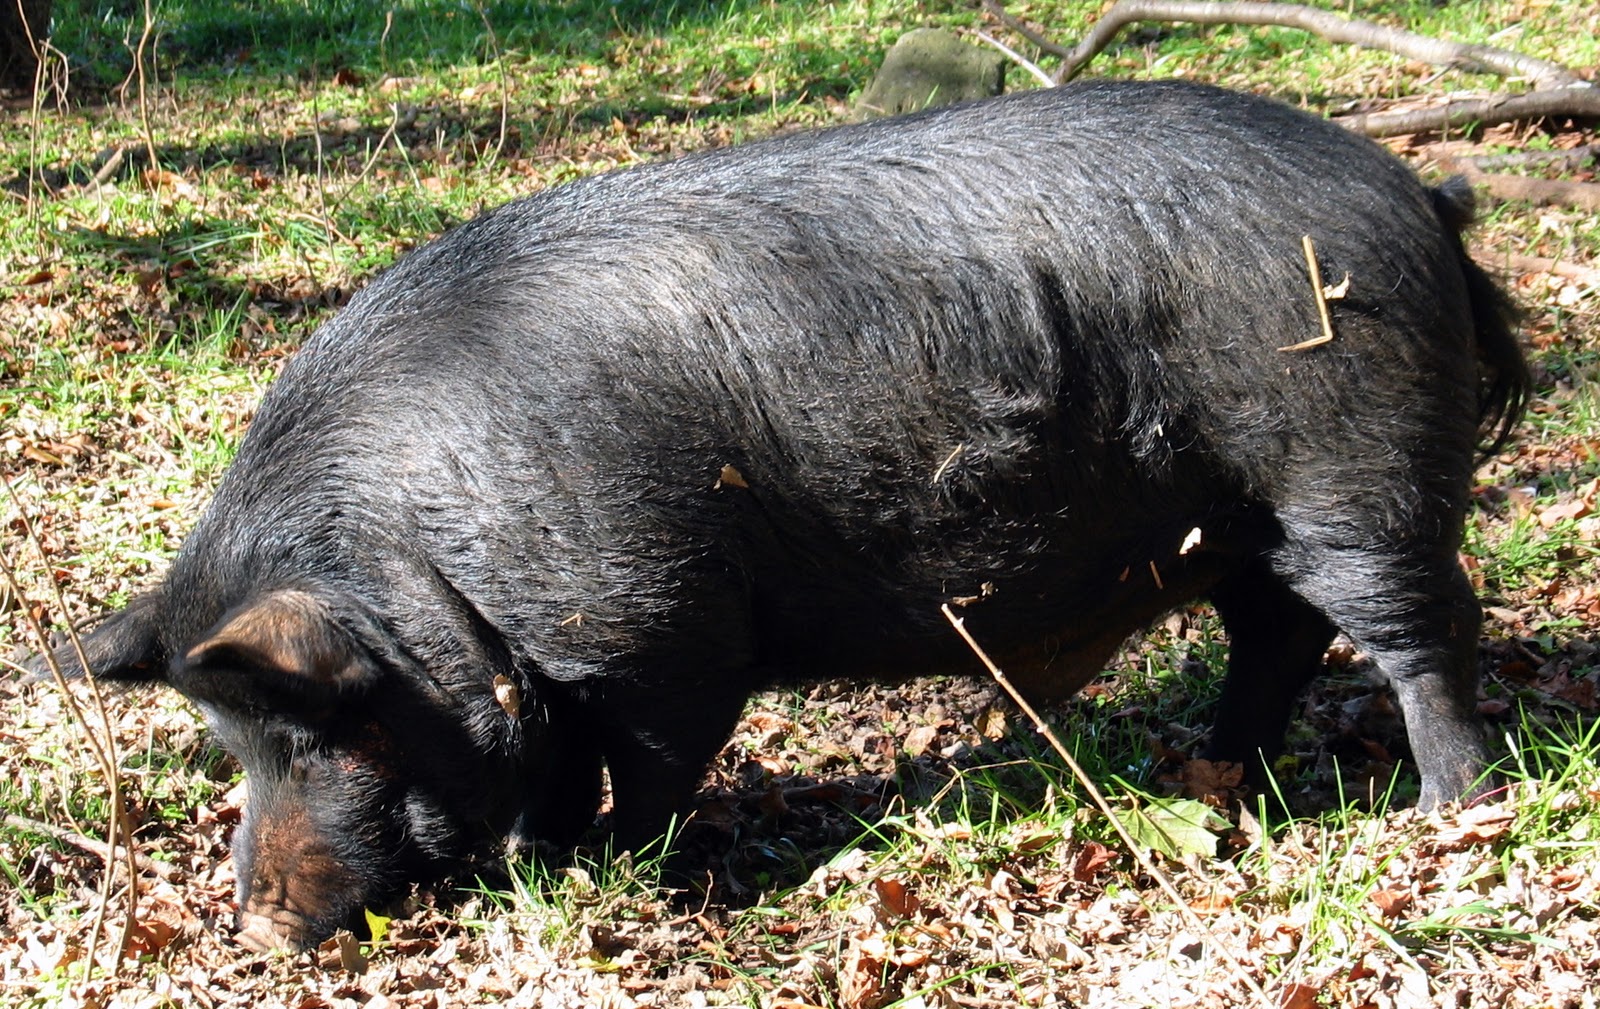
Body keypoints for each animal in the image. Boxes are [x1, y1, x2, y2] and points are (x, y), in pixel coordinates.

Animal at [43, 79, 1527, 950]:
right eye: (225, 738)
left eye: (311, 726)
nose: (253, 922)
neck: (431, 564)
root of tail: (1415, 192)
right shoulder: (566, 659)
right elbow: (555, 771)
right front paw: (543, 863)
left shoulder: (656, 626)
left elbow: (646, 765)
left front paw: (613, 875)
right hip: (1239, 519)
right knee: (1277, 634)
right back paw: (1209, 778)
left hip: (1353, 462)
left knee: (1421, 627)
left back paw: (1445, 810)